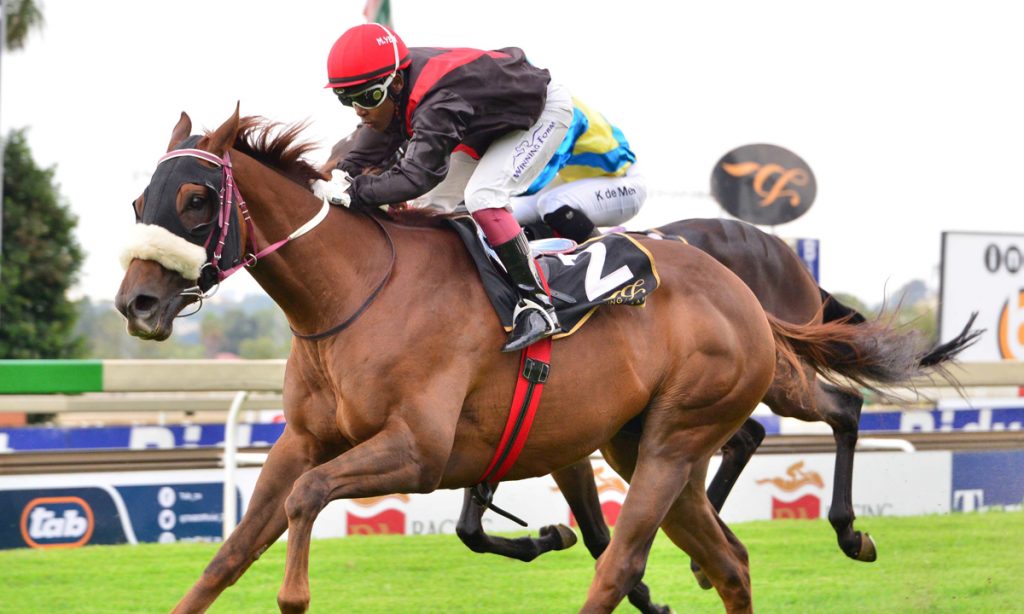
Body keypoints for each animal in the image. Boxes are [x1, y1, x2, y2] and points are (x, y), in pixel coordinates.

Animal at [118, 107, 914, 614]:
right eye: (138, 200)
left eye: (196, 198)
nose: (137, 303)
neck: (351, 295)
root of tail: (743, 289)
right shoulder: (305, 441)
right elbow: (230, 552)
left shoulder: (420, 451)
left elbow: (309, 498)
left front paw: (294, 594)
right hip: (642, 445)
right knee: (730, 562)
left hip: (679, 435)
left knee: (624, 562)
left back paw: (843, 530)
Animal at [451, 217, 980, 599]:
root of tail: (786, 252)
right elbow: (469, 528)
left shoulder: (560, 438)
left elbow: (597, 536)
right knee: (753, 437)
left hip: (778, 373)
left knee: (842, 407)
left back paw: (846, 531)